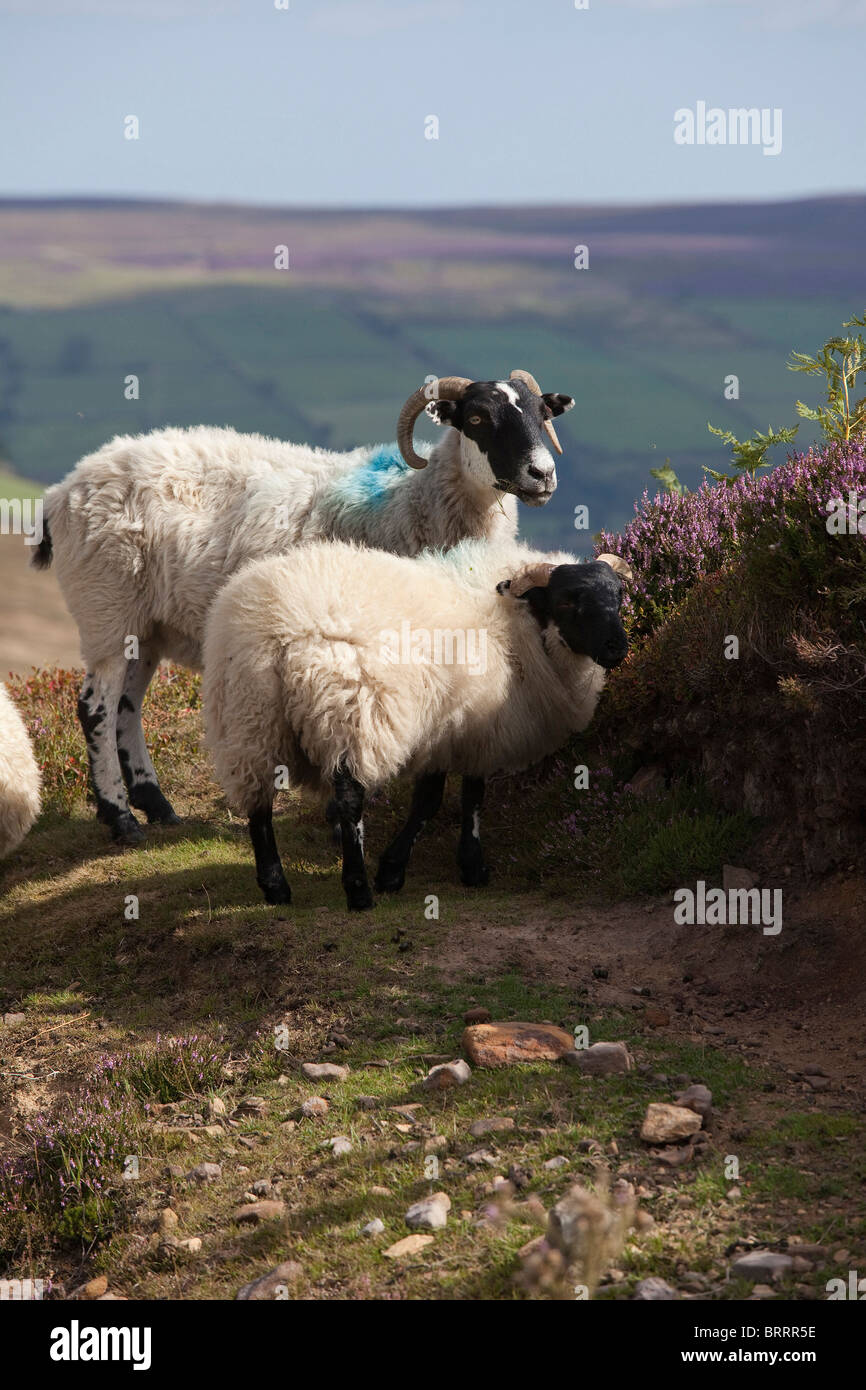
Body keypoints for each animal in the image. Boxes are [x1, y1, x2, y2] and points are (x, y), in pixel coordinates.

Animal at [33, 370, 574, 845]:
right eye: (478, 418)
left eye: (541, 413)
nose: (543, 475)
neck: (411, 503)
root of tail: (62, 490)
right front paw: (341, 818)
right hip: (106, 608)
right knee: (95, 708)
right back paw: (121, 819)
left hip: (145, 628)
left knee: (127, 707)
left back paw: (157, 806)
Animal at [201, 538, 631, 909]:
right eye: (567, 600)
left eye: (618, 597)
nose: (617, 648)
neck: (514, 622)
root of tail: (281, 628)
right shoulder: (471, 728)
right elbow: (455, 800)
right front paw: (451, 868)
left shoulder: (443, 731)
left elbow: (434, 800)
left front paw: (404, 869)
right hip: (351, 714)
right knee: (349, 800)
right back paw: (358, 891)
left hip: (249, 716)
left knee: (258, 801)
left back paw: (276, 887)